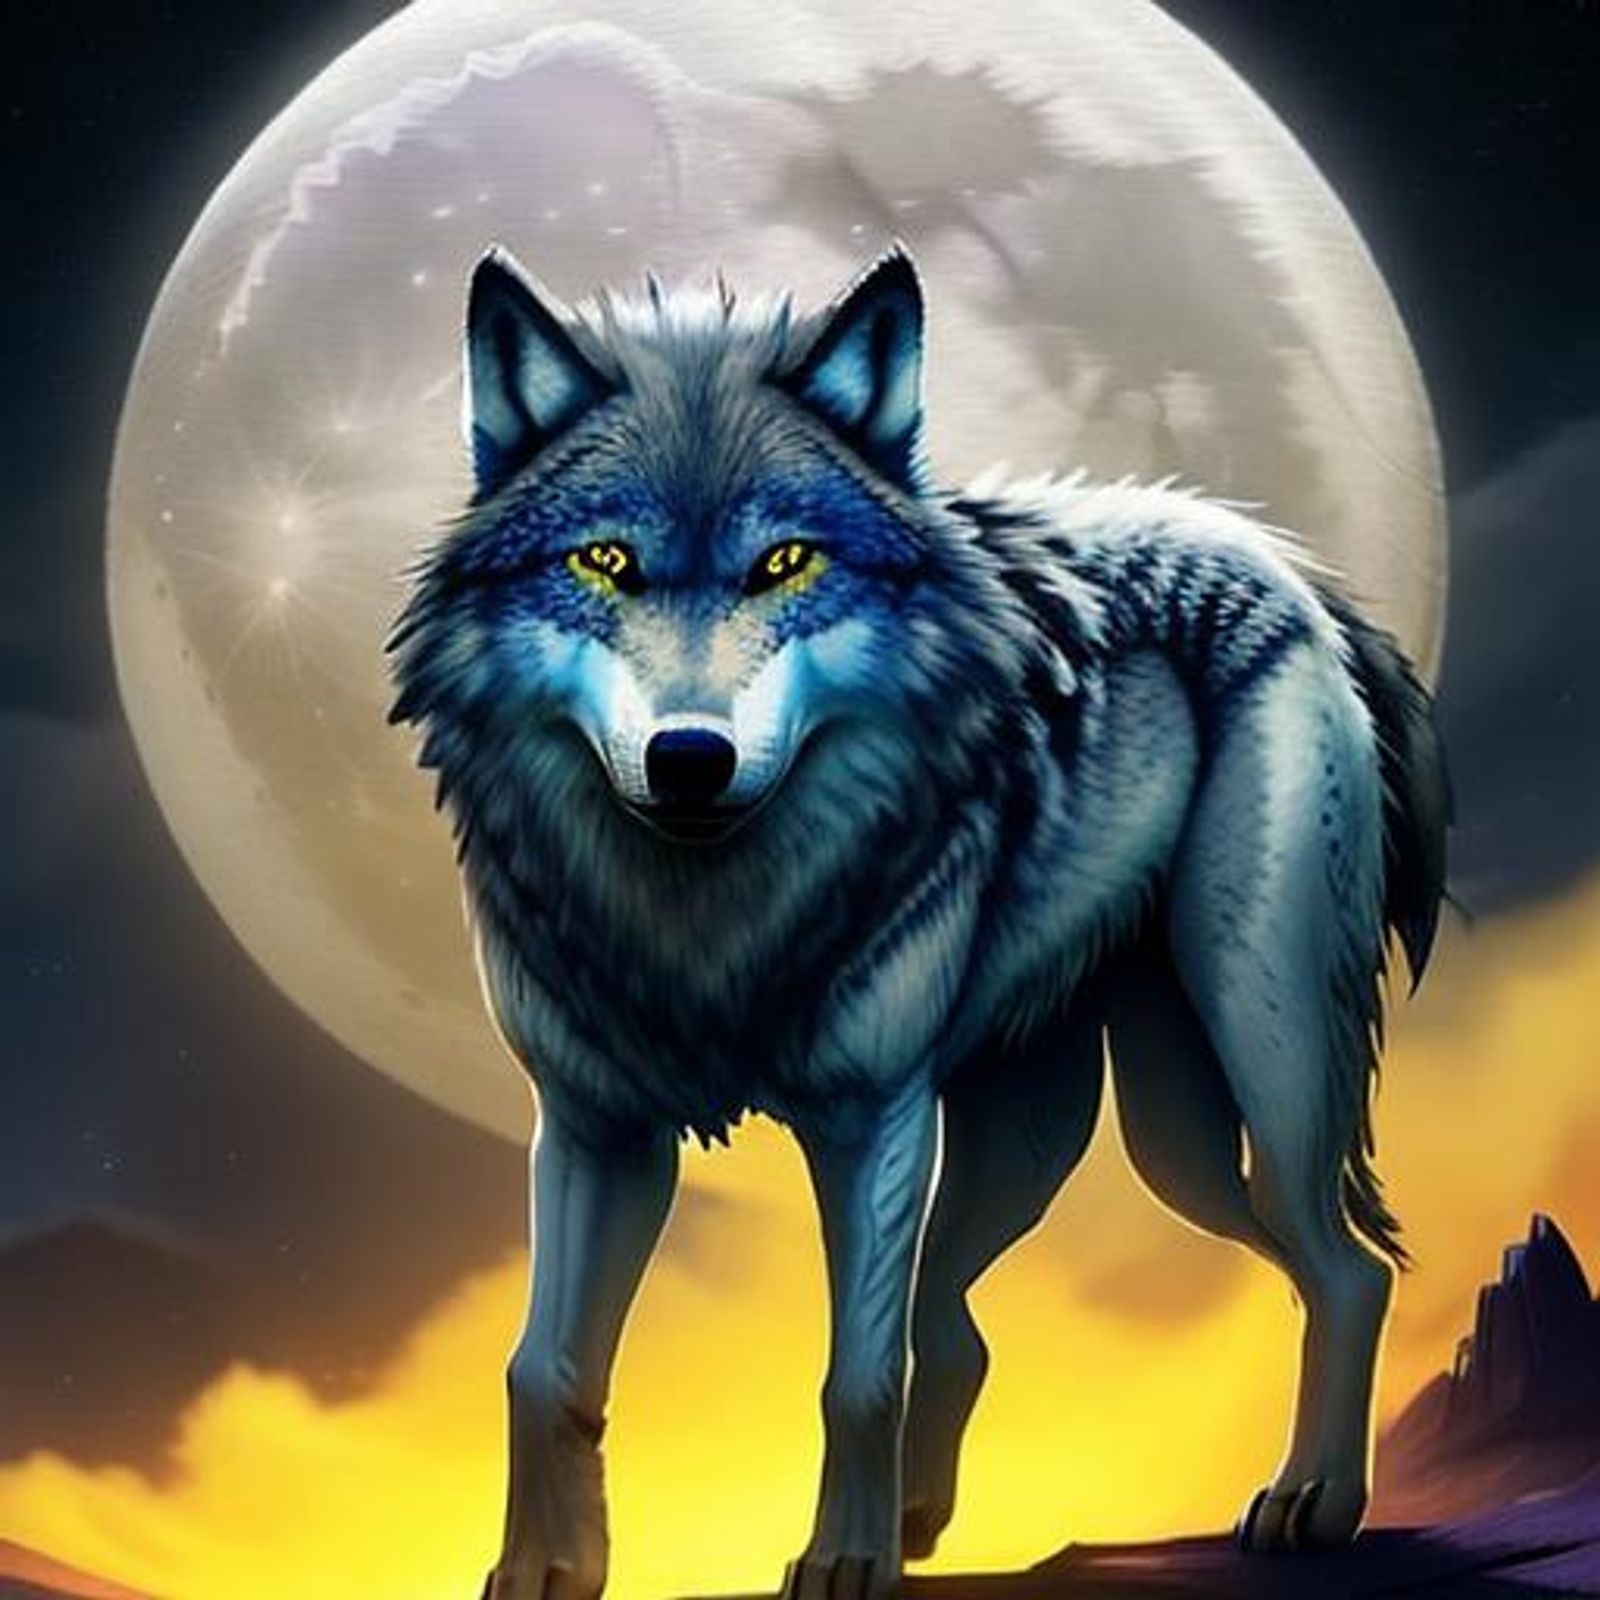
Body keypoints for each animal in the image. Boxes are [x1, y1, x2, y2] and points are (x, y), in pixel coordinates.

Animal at [386, 241, 1449, 1600]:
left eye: (785, 563)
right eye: (604, 563)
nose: (689, 758)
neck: (699, 923)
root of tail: (1290, 569)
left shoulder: (867, 1116)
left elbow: (854, 1374)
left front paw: (839, 1561)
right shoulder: (593, 1126)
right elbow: (544, 1367)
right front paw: (538, 1570)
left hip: (1257, 1071)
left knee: (1345, 1268)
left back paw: (1313, 1499)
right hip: (1112, 1138)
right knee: (967, 1323)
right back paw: (920, 1518)